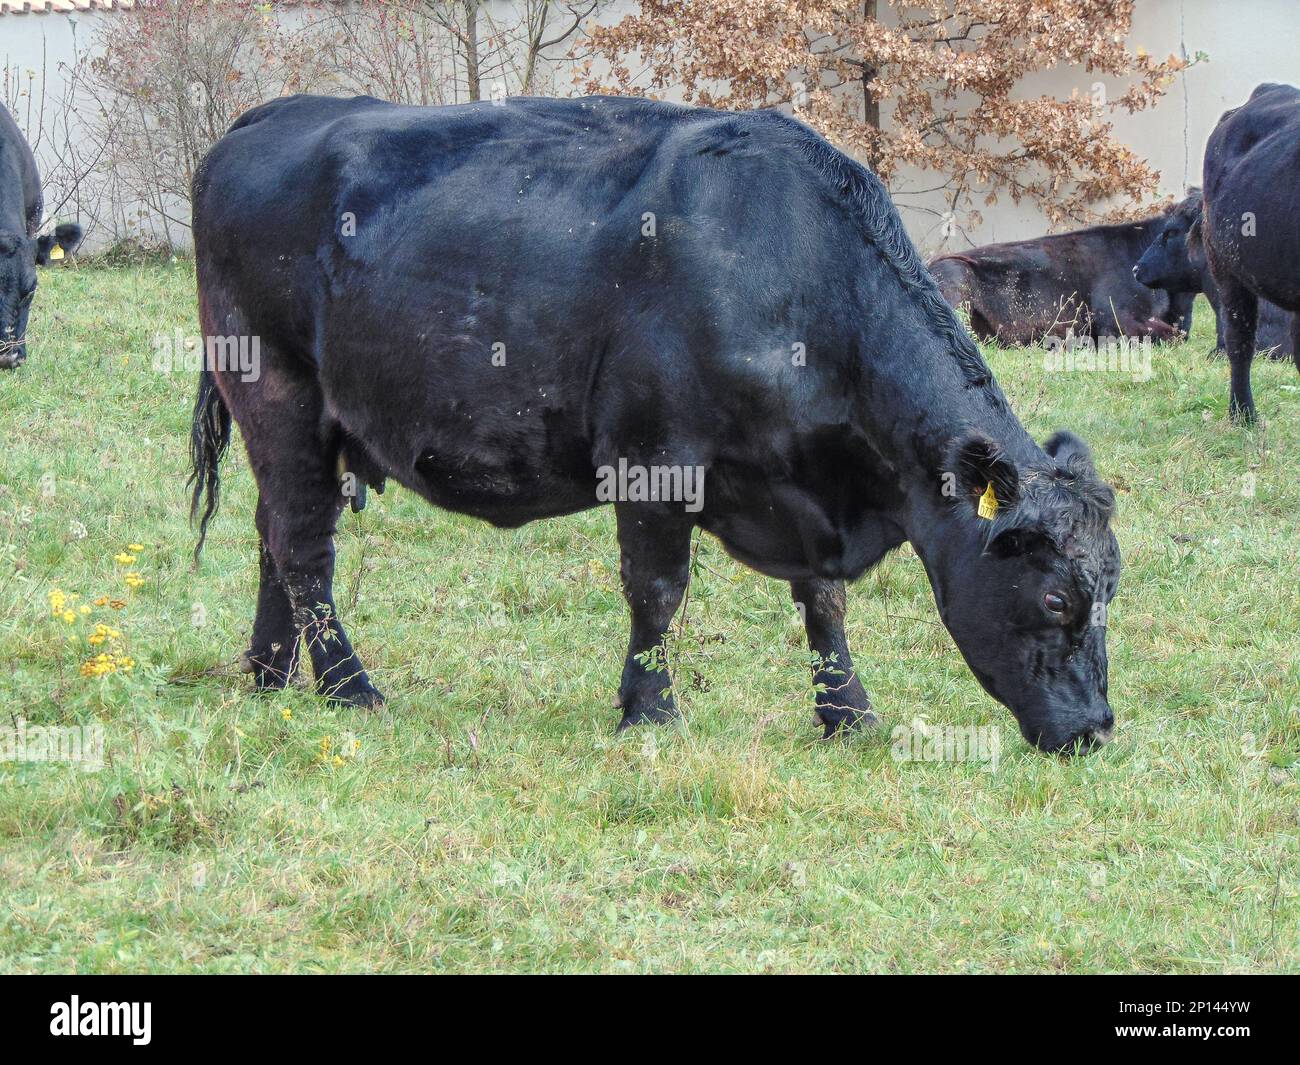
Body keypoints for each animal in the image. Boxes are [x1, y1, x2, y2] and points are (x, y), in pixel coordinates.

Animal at [190, 94, 1120, 754]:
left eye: (1111, 589)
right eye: (1053, 596)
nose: (1096, 729)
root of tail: (270, 113)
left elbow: (825, 603)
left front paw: (847, 715)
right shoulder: (652, 458)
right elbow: (659, 592)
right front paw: (650, 712)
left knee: (275, 532)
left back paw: (270, 673)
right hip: (277, 390)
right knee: (304, 546)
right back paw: (350, 687)